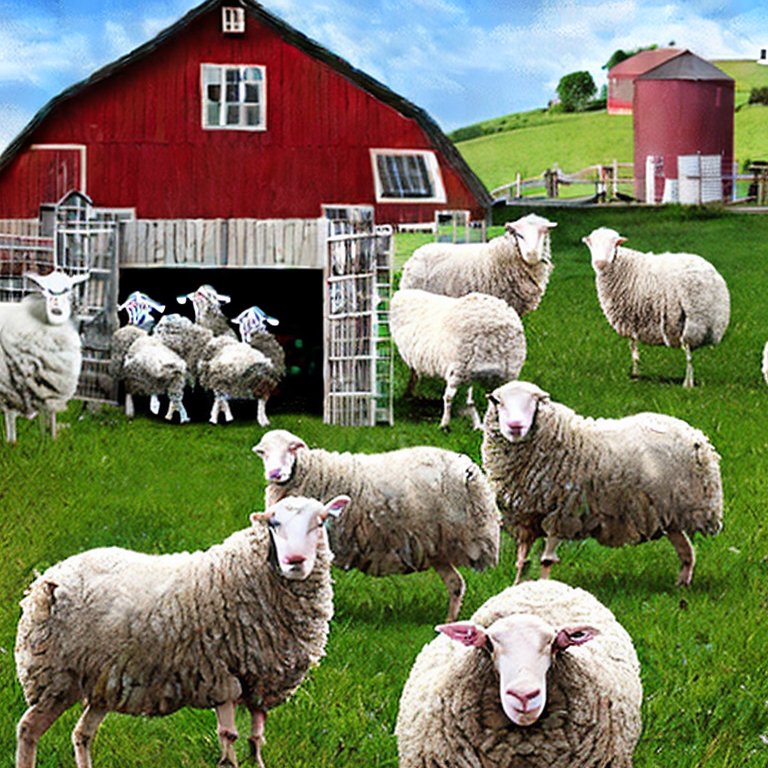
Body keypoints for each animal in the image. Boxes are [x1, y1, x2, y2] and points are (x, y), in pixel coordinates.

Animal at [0, 270, 89, 444]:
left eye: (68, 288)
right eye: (45, 289)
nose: (55, 303)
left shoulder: (47, 382)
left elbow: (48, 413)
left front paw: (48, 439)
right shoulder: (10, 384)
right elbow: (11, 416)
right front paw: (11, 442)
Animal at [14, 493, 350, 768]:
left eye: (321, 521)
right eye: (274, 523)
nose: (295, 561)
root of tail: (47, 580)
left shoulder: (261, 681)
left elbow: (256, 740)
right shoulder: (222, 677)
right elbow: (229, 736)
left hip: (100, 681)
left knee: (81, 733)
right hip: (56, 676)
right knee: (28, 729)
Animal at [252, 428, 500, 622]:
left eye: (293, 448)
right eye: (263, 452)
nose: (275, 473)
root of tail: (469, 469)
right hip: (435, 547)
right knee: (456, 584)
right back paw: (449, 621)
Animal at [481, 380, 723, 587]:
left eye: (536, 401)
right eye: (497, 401)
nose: (515, 426)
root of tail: (697, 436)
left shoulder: (562, 512)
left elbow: (546, 559)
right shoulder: (527, 517)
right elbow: (522, 561)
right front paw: (516, 588)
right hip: (668, 512)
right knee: (685, 549)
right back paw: (682, 583)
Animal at [582, 226, 730, 387]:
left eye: (615, 243)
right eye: (591, 243)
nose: (600, 263)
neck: (621, 265)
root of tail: (712, 274)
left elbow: (634, 351)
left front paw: (635, 375)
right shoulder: (630, 321)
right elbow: (634, 351)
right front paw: (635, 375)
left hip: (694, 319)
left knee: (688, 354)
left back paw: (688, 384)